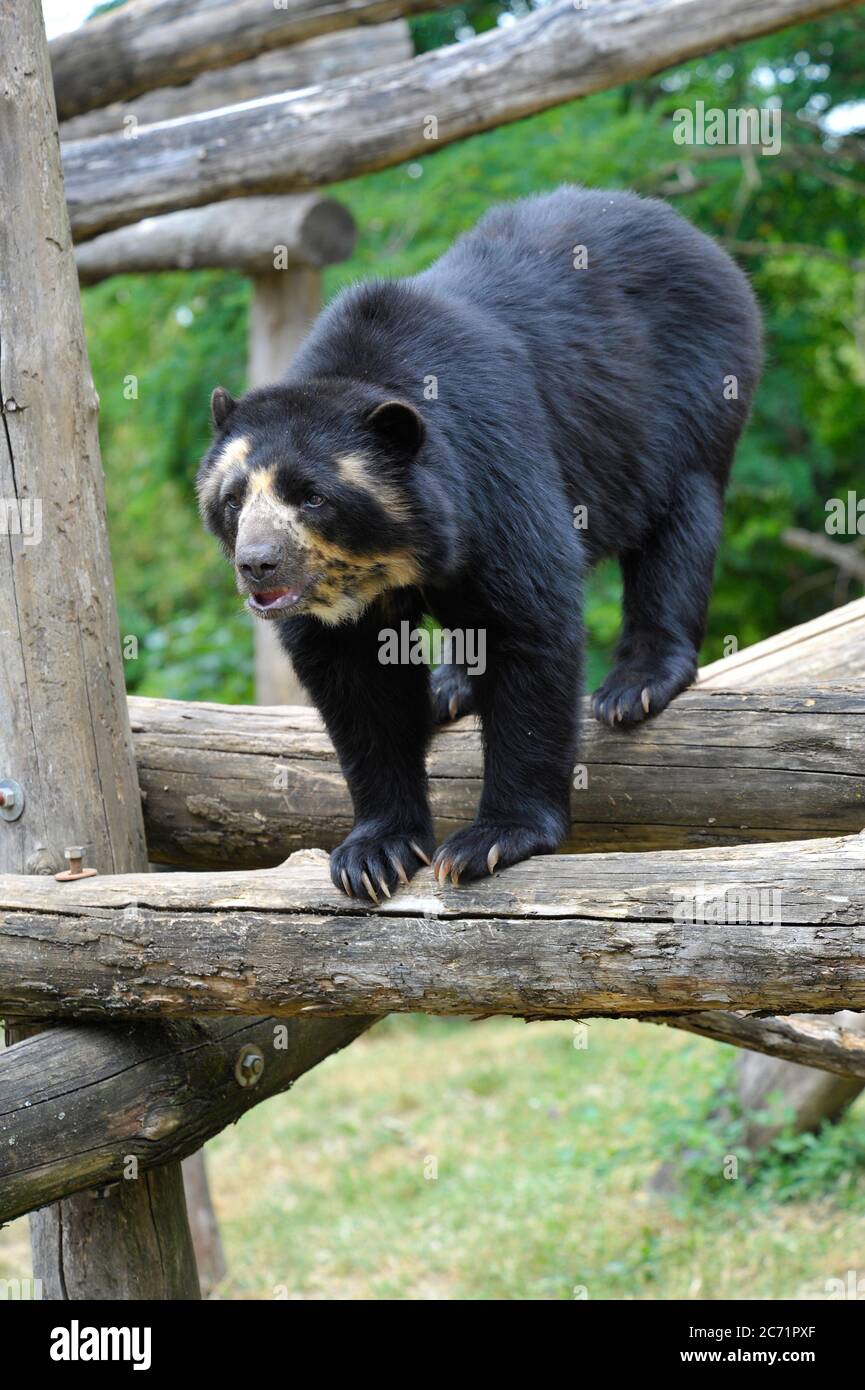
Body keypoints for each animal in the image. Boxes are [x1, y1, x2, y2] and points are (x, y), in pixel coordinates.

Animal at [197, 185, 762, 901]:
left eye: (312, 496)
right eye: (234, 499)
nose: (257, 566)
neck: (389, 560)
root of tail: (694, 236)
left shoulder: (492, 472)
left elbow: (530, 626)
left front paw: (489, 842)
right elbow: (355, 685)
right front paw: (373, 854)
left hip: (688, 392)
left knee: (677, 524)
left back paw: (634, 685)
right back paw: (449, 687)